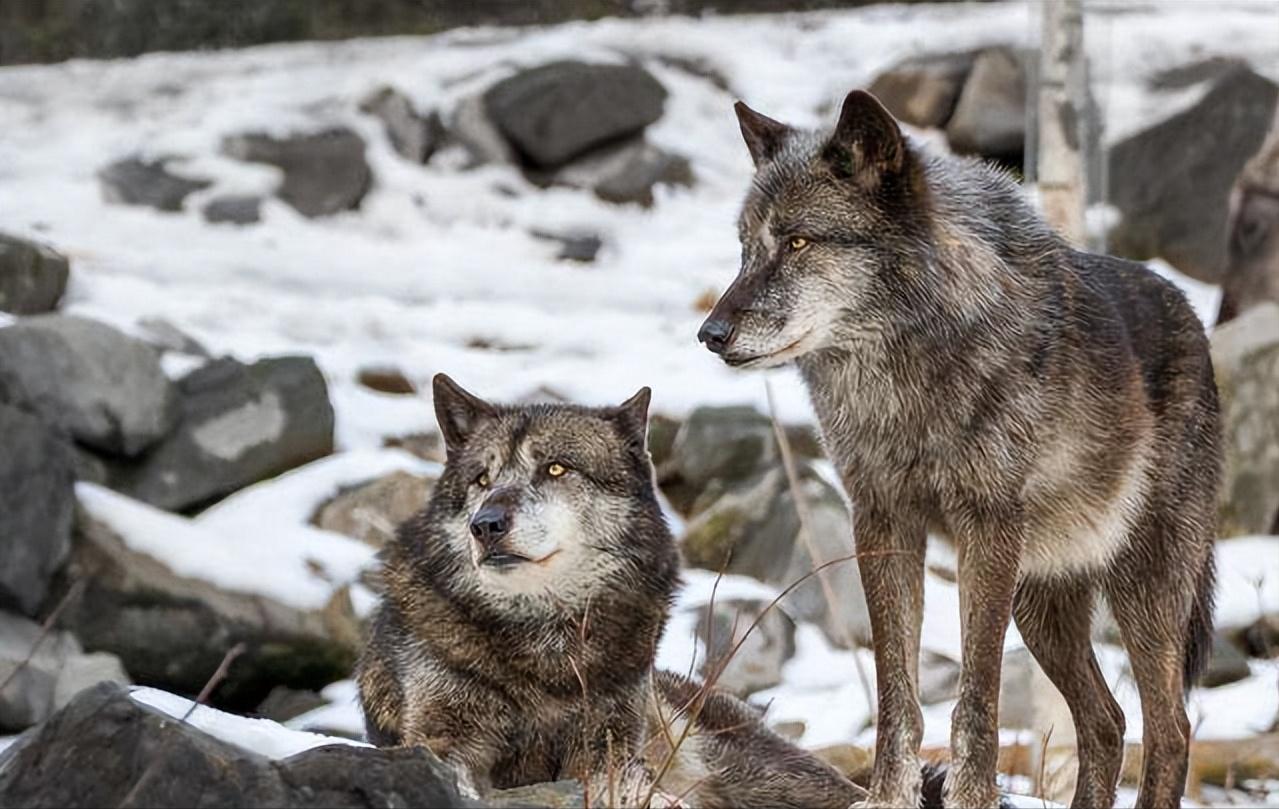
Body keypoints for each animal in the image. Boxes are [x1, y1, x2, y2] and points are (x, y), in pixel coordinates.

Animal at [356, 374, 867, 808]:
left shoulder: (609, 745)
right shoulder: (441, 738)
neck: (545, 651)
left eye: (556, 469)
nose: (485, 525)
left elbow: (621, 786)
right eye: (482, 479)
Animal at [698, 90, 1221, 809]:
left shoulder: (986, 528)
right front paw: (888, 796)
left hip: (1143, 587)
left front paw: (970, 795)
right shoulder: (882, 521)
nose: (709, 333)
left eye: (799, 240)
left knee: (1169, 728)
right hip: (1041, 603)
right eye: (746, 248)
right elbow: (897, 693)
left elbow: (976, 696)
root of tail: (1194, 317)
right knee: (1108, 721)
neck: (902, 384)